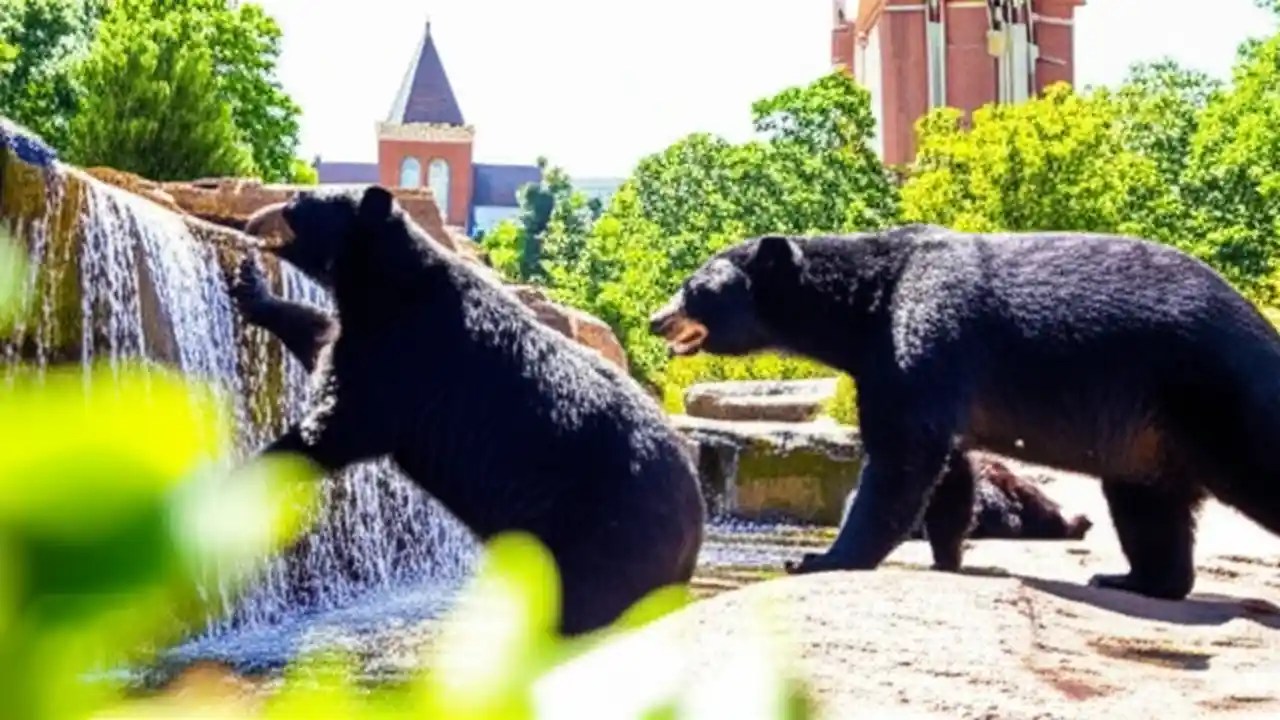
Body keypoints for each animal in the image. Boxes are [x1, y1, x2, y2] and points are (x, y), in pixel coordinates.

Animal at [229, 185, 706, 635]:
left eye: (296, 202)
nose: (251, 221)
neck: (387, 282)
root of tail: (694, 528)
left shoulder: (405, 361)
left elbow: (338, 424)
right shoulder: (369, 337)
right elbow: (321, 339)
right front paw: (252, 288)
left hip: (603, 536)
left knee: (585, 606)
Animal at [648, 223, 1280, 600]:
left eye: (692, 286)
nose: (657, 319)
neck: (863, 303)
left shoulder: (926, 327)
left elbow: (902, 453)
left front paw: (820, 557)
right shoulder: (897, 360)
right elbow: (946, 463)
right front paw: (947, 556)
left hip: (1216, 397)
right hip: (1146, 432)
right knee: (1148, 503)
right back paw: (1133, 578)